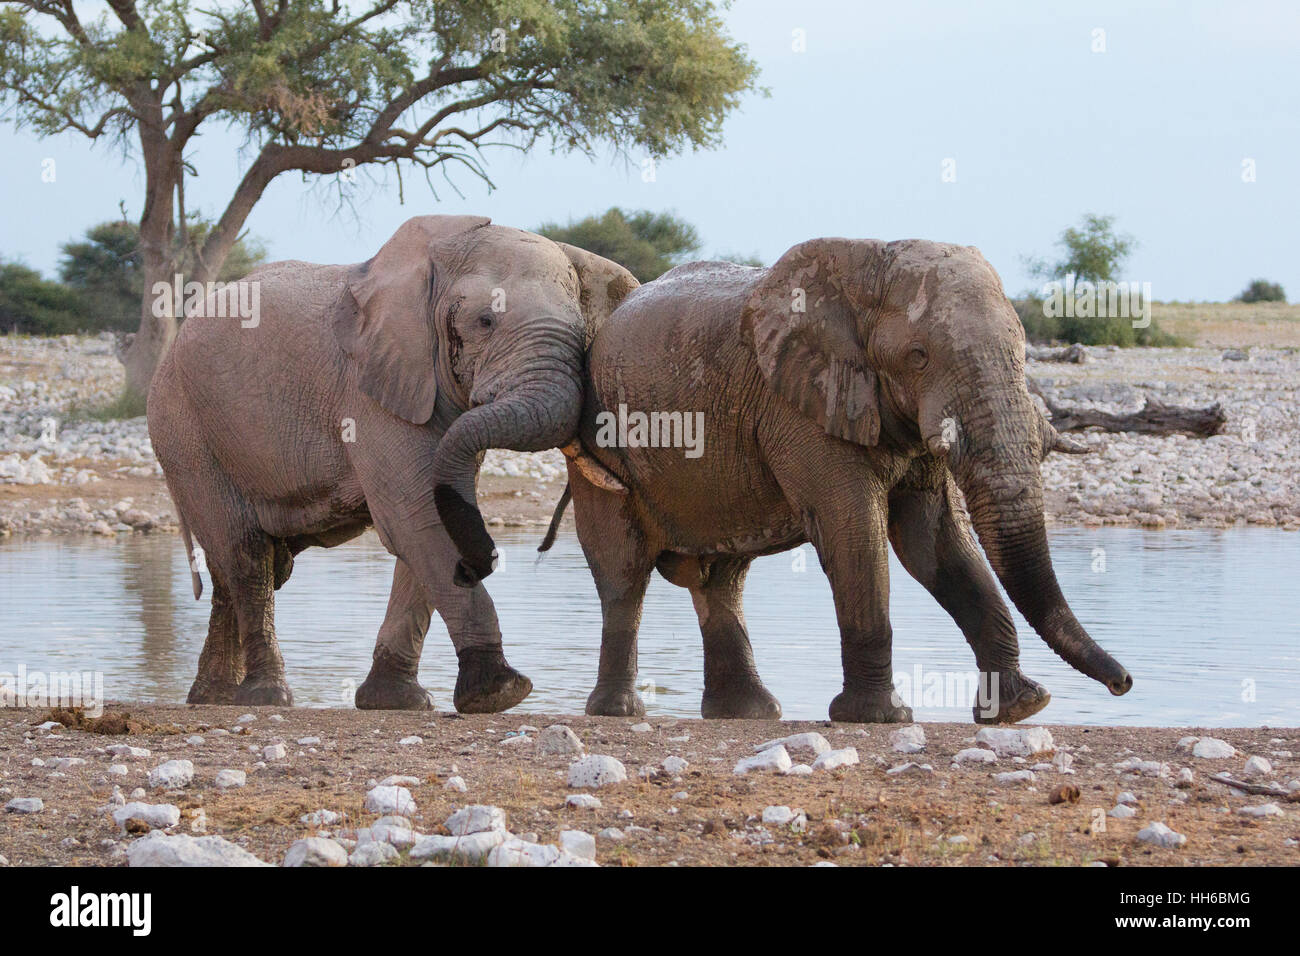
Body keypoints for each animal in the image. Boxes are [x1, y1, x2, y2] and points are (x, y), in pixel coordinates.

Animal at [146, 215, 637, 710]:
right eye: (484, 321)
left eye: (585, 339)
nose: (480, 564)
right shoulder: (371, 390)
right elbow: (415, 519)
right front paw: (499, 693)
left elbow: (428, 520)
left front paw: (397, 701)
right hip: (182, 427)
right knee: (247, 556)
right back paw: (264, 697)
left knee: (245, 566)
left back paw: (213, 698)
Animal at [516, 238, 1133, 724]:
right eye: (918, 356)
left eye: (1020, 351)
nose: (1124, 684)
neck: (869, 265)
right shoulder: (798, 408)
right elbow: (855, 533)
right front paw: (879, 718)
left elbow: (933, 543)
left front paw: (1021, 709)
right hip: (600, 444)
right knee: (624, 574)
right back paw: (619, 712)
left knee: (721, 582)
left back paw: (749, 714)